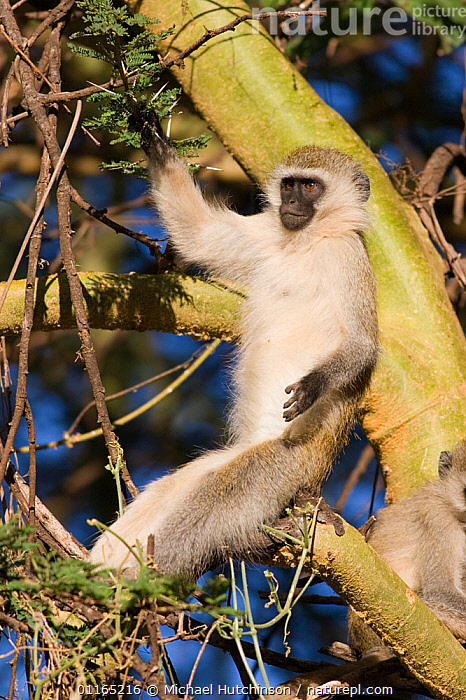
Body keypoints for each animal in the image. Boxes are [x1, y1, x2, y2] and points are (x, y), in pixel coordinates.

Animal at [89, 121, 379, 579]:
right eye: (289, 184)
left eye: (310, 186)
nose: (291, 202)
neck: (303, 242)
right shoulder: (265, 235)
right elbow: (198, 234)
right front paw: (150, 133)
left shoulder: (346, 257)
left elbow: (363, 345)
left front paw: (313, 385)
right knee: (169, 492)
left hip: (284, 466)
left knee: (217, 498)